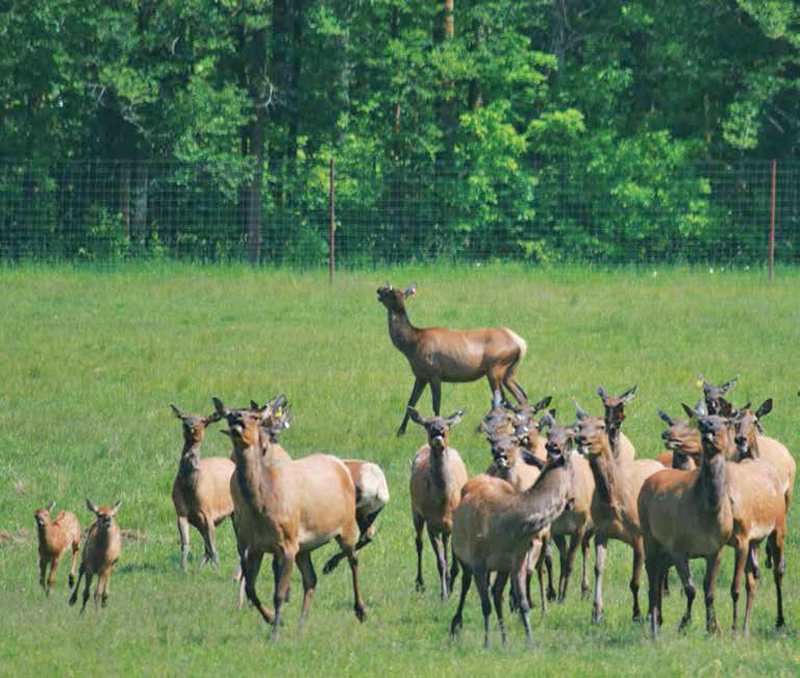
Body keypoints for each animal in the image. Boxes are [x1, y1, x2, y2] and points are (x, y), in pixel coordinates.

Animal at [215, 398, 366, 639]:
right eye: (230, 415)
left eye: (254, 417)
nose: (237, 421)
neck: (262, 507)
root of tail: (341, 465)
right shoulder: (255, 545)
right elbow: (251, 589)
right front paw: (275, 620)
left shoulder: (286, 543)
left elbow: (278, 593)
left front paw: (275, 632)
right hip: (304, 545)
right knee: (311, 579)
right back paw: (301, 625)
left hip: (347, 527)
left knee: (354, 560)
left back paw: (361, 611)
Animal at [377, 284, 528, 436]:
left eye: (390, 291)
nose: (378, 289)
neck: (411, 345)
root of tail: (521, 343)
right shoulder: (420, 376)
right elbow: (411, 402)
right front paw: (400, 431)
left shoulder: (434, 373)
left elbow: (436, 404)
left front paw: (437, 427)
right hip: (509, 372)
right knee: (521, 396)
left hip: (496, 368)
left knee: (502, 400)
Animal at [408, 406, 468, 600]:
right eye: (427, 424)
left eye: (447, 424)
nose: (438, 430)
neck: (444, 503)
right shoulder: (431, 523)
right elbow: (440, 562)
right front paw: (444, 594)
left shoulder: (455, 523)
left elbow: (454, 562)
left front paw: (450, 587)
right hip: (415, 511)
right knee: (418, 543)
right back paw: (420, 583)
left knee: (445, 543)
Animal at [449, 424, 577, 648]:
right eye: (572, 473)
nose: (572, 500)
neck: (509, 528)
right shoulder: (478, 559)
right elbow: (485, 605)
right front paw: (486, 643)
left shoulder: (516, 560)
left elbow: (523, 603)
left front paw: (529, 641)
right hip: (461, 552)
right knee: (466, 583)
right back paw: (456, 624)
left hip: (501, 567)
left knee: (496, 593)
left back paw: (504, 639)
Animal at [574, 400, 664, 624]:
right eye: (580, 425)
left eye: (601, 426)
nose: (581, 439)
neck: (613, 503)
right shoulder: (601, 531)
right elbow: (598, 569)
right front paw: (596, 612)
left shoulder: (639, 535)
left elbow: (635, 580)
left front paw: (638, 613)